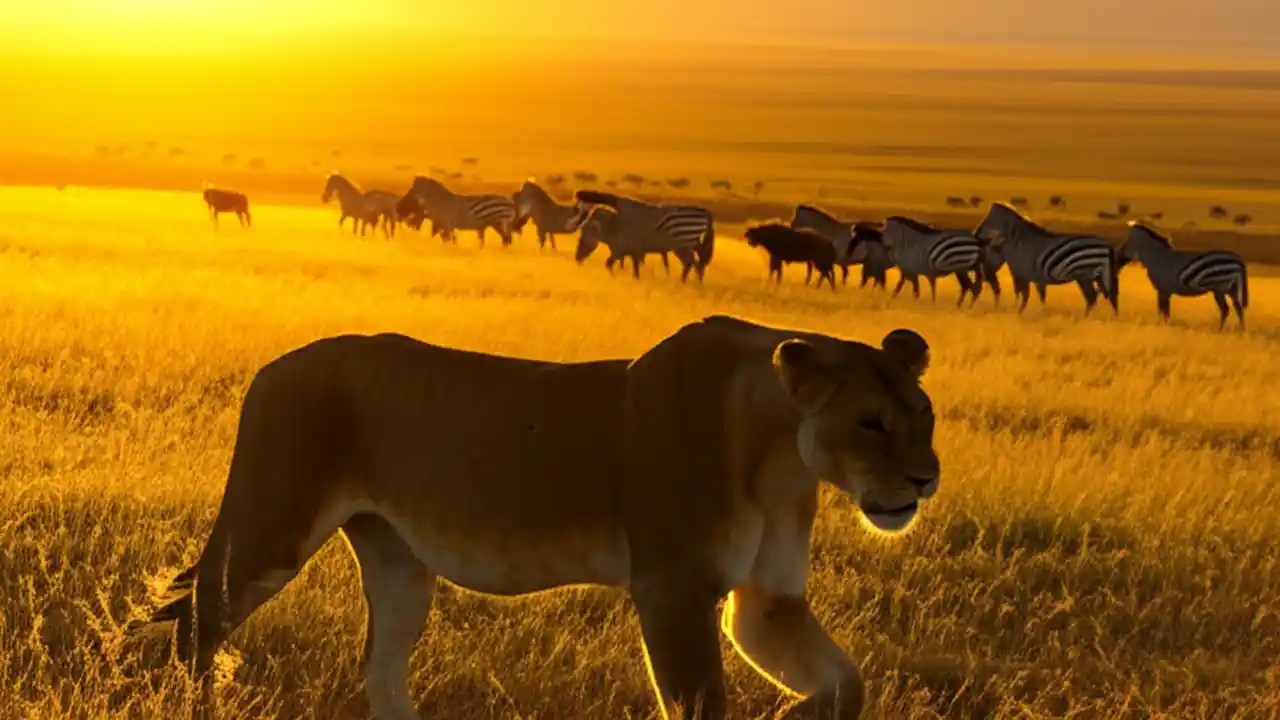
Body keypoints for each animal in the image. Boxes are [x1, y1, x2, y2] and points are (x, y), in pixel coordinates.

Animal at [136, 315, 939, 720]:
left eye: (925, 417)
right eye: (870, 424)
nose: (926, 480)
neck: (782, 458)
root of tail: (272, 366)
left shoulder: (768, 604)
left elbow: (848, 685)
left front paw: (792, 717)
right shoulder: (674, 592)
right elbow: (703, 704)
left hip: (399, 564)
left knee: (381, 672)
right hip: (271, 529)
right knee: (196, 625)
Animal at [574, 191, 714, 282]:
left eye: (581, 238)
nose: (577, 259)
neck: (614, 226)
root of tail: (705, 212)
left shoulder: (620, 250)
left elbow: (609, 264)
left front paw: (613, 278)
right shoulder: (632, 251)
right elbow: (635, 271)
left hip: (681, 245)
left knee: (689, 264)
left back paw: (682, 284)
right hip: (691, 244)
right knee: (698, 263)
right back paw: (696, 283)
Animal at [974, 202, 1120, 315]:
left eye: (987, 220)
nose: (976, 232)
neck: (1017, 243)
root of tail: (1106, 244)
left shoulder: (1021, 275)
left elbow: (1023, 295)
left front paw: (1018, 313)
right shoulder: (1034, 277)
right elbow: (1037, 296)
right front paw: (1038, 312)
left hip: (1084, 276)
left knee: (1092, 298)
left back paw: (1084, 319)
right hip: (1099, 275)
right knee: (1109, 296)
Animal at [1117, 222, 1247, 330]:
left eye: (1126, 242)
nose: (1119, 256)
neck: (1155, 257)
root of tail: (1238, 259)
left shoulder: (1162, 290)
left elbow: (1162, 311)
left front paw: (1161, 327)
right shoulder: (1166, 291)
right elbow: (1166, 312)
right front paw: (1165, 327)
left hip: (1219, 288)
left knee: (1225, 309)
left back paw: (1220, 331)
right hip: (1232, 289)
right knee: (1238, 308)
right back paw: (1241, 331)